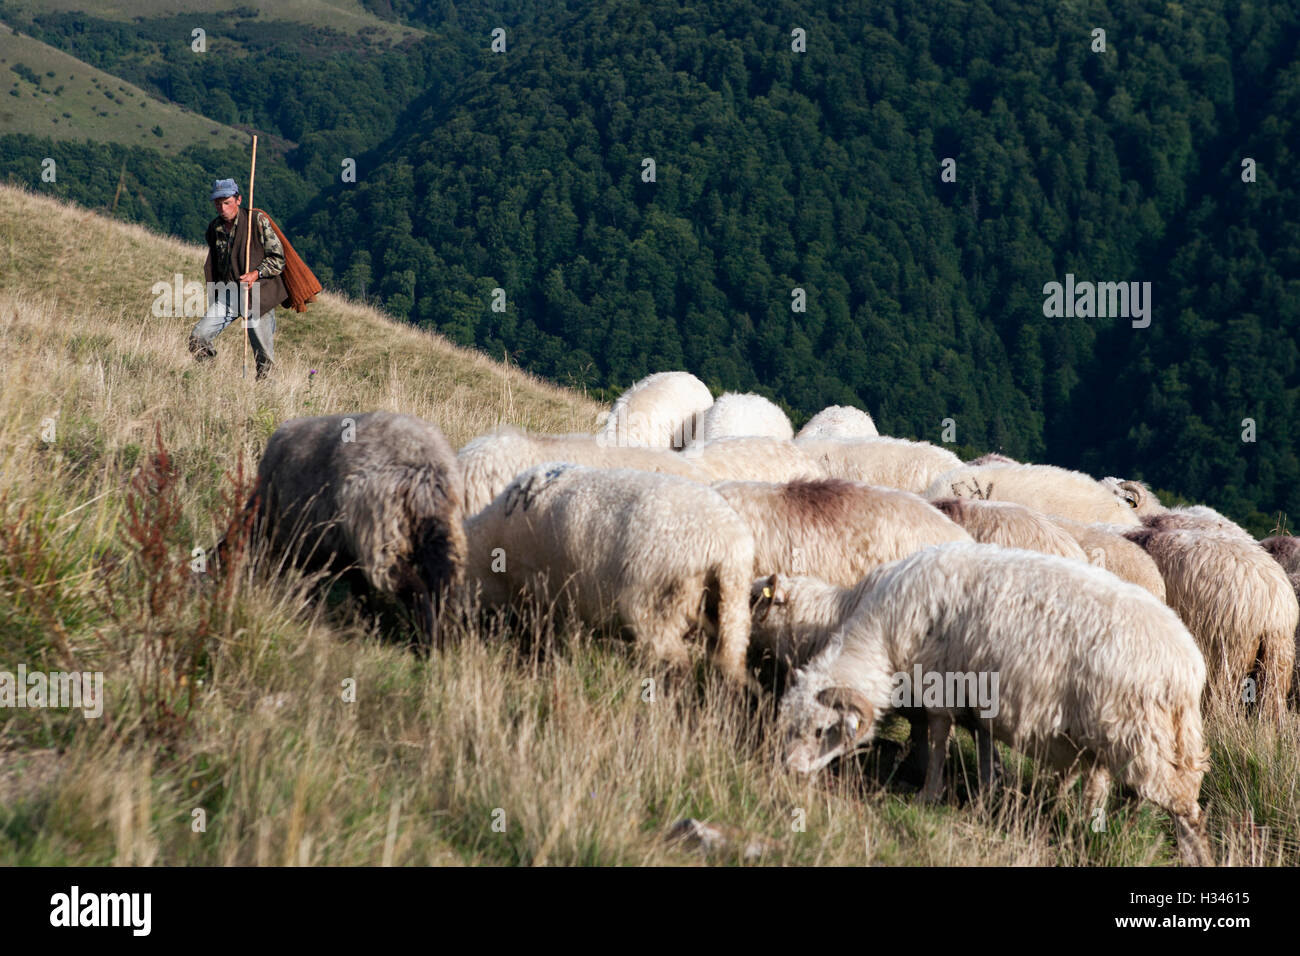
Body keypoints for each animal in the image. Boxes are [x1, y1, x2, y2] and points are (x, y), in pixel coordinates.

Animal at [248, 412, 466, 647]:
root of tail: (419, 462)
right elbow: (358, 590)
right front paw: (367, 626)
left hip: (381, 536)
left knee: (414, 589)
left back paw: (427, 643)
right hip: (440, 533)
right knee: (443, 585)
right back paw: (445, 638)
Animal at [464, 463, 755, 685]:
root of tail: (726, 546)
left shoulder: (541, 590)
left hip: (653, 605)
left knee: (675, 662)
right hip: (732, 611)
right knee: (729, 663)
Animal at [753, 543, 1212, 864]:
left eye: (820, 731)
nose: (788, 772)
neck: (877, 627)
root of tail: (1187, 664)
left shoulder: (940, 683)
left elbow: (938, 741)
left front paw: (928, 794)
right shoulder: (979, 694)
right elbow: (984, 741)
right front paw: (987, 793)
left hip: (1138, 733)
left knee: (1182, 807)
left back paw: (1187, 855)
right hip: (1133, 737)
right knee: (1124, 792)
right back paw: (1105, 828)